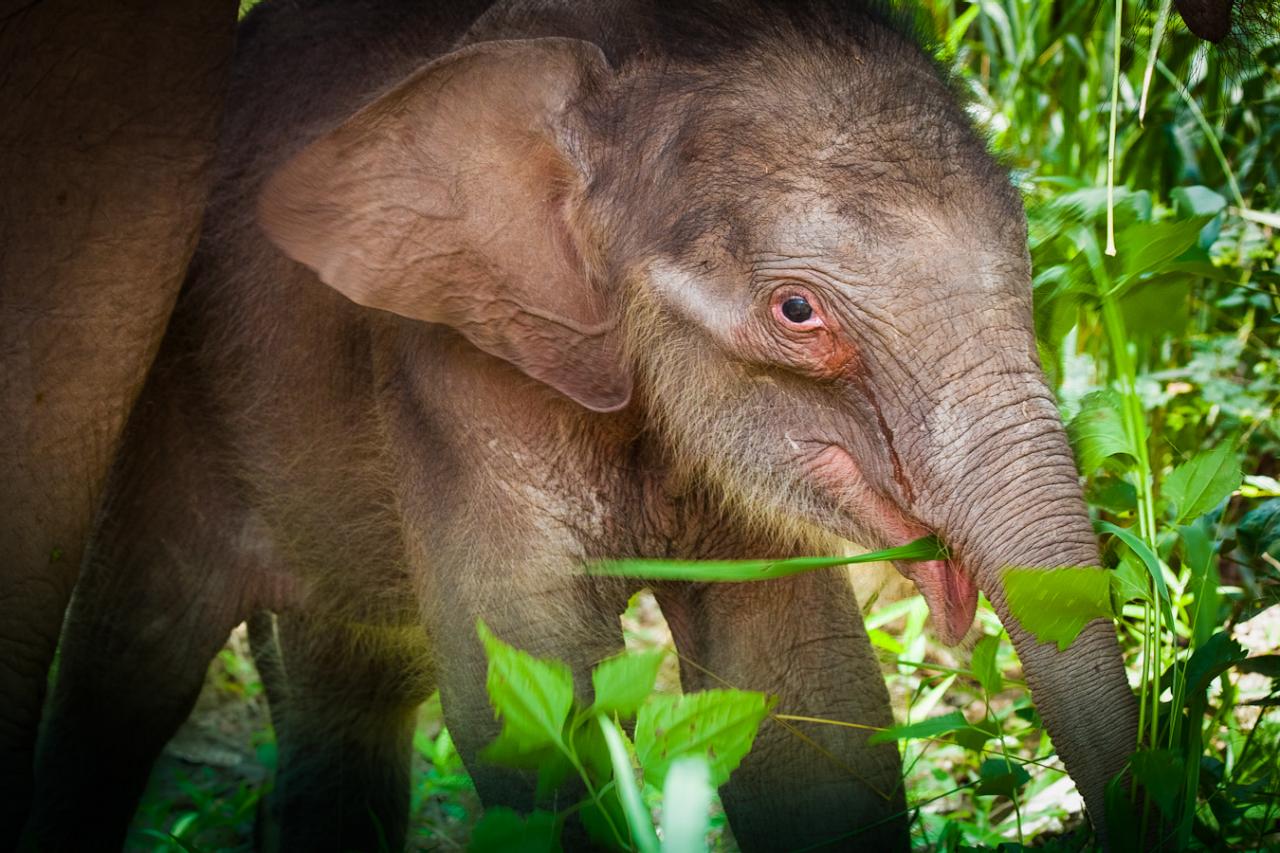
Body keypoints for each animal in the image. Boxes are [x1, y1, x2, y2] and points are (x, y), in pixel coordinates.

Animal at [15, 0, 1194, 850]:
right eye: (797, 312)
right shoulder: (450, 369)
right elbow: (534, 712)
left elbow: (811, 706)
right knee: (125, 670)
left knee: (353, 689)